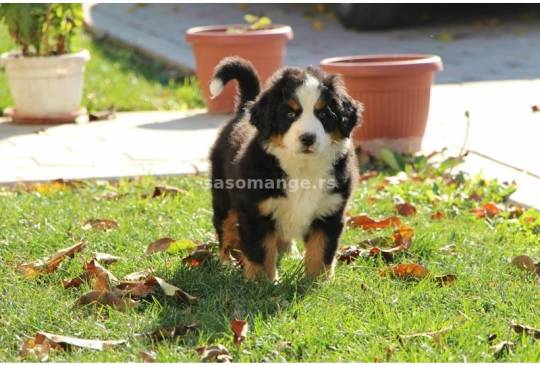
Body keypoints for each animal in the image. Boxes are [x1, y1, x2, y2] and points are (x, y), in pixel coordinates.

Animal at [209, 57, 360, 280]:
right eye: (290, 114)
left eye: (324, 113)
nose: (308, 138)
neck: (303, 168)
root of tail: (243, 109)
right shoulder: (255, 212)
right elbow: (261, 251)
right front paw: (261, 281)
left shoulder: (329, 211)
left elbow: (321, 251)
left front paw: (318, 281)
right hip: (223, 198)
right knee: (225, 228)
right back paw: (225, 262)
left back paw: (290, 253)